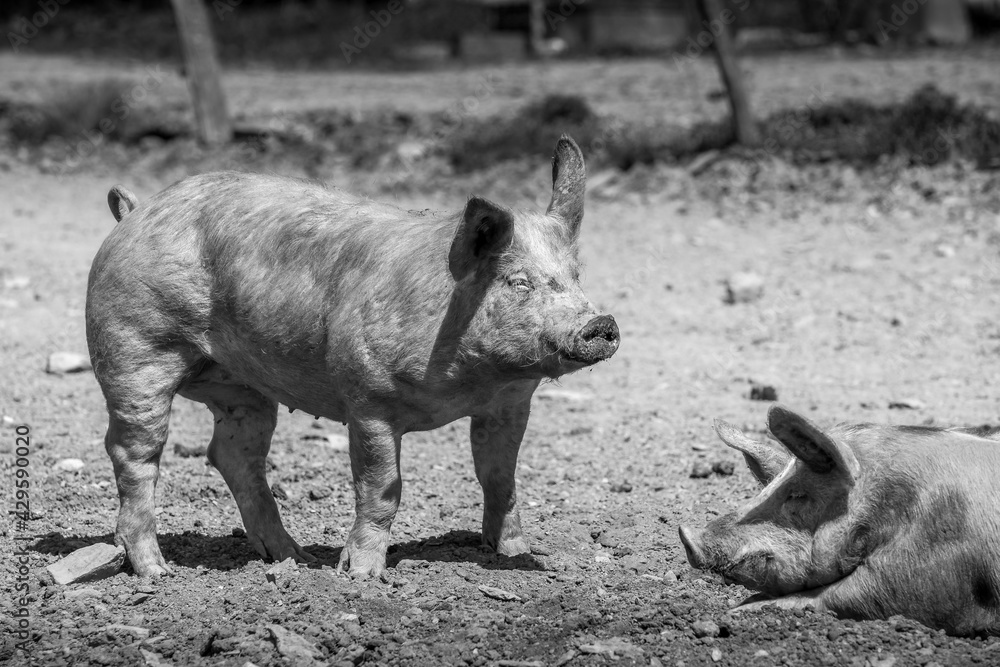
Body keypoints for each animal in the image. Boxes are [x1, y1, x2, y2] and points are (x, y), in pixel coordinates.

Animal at [86, 135, 619, 579]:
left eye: (575, 275)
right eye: (519, 282)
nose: (601, 323)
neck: (470, 382)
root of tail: (134, 212)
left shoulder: (509, 403)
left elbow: (500, 479)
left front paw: (517, 555)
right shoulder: (367, 398)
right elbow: (382, 486)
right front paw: (361, 575)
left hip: (241, 387)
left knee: (234, 454)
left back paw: (292, 558)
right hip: (134, 348)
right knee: (134, 454)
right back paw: (158, 574)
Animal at [678, 405, 1000, 636]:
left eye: (798, 495)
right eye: (765, 488)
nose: (686, 535)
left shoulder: (931, 568)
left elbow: (853, 594)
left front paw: (735, 612)